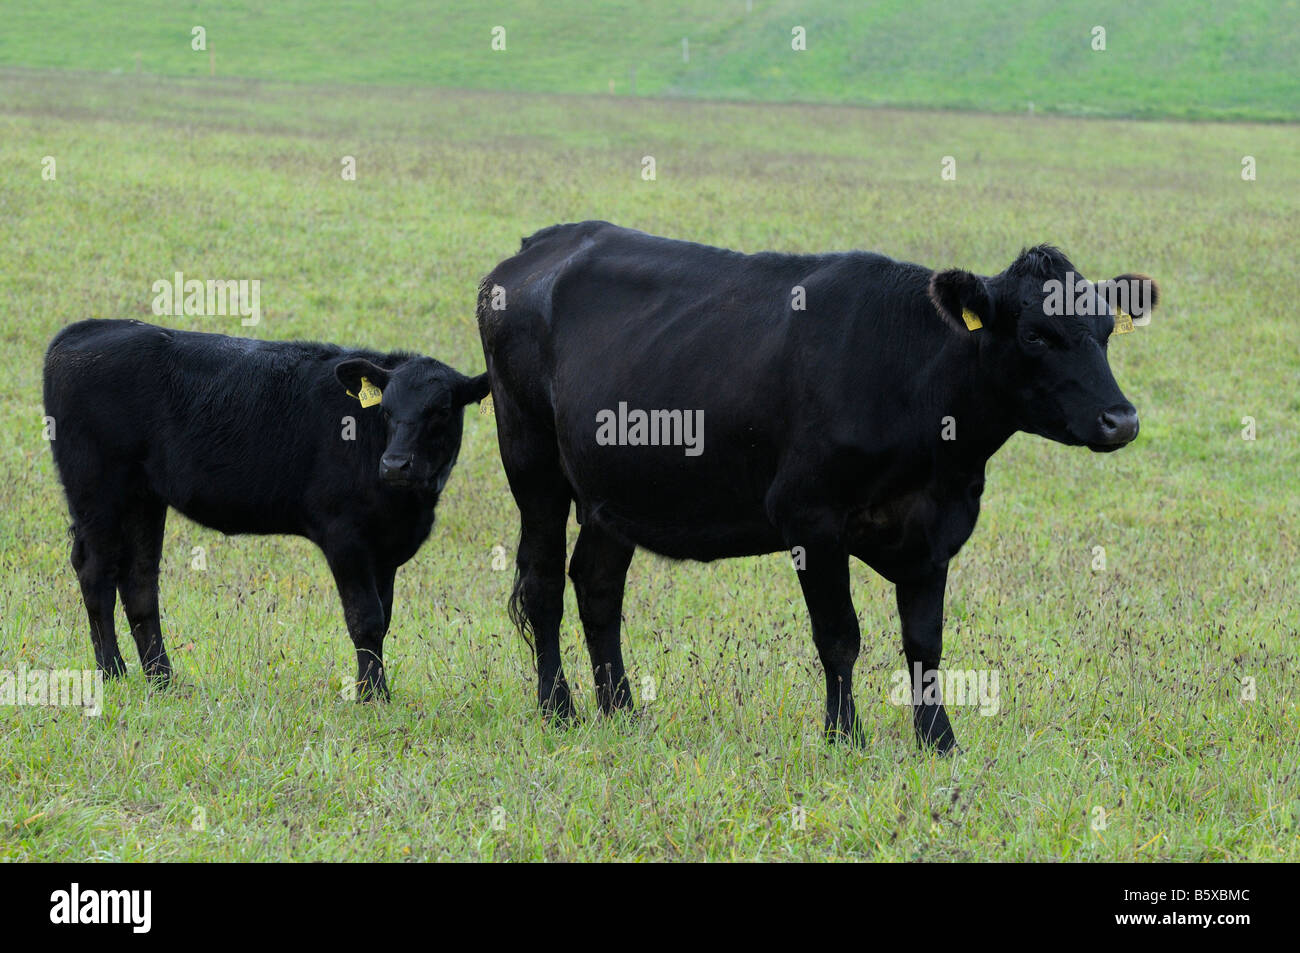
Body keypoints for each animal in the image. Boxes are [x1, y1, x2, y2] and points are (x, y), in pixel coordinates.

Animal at [43, 319, 489, 700]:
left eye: (442, 410)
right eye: (385, 409)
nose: (395, 465)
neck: (410, 506)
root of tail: (88, 329)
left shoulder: (386, 549)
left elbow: (384, 618)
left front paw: (373, 689)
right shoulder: (345, 536)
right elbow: (366, 619)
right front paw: (372, 696)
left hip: (143, 498)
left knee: (138, 581)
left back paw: (162, 680)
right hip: (95, 491)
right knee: (96, 574)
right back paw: (112, 673)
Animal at [478, 221, 1158, 752]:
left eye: (1105, 331)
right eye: (1036, 334)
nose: (1121, 420)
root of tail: (540, 244)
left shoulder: (935, 529)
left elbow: (924, 643)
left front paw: (939, 742)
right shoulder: (810, 517)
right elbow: (839, 637)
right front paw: (844, 737)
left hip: (611, 492)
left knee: (597, 587)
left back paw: (621, 710)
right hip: (533, 462)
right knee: (543, 585)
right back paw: (559, 710)